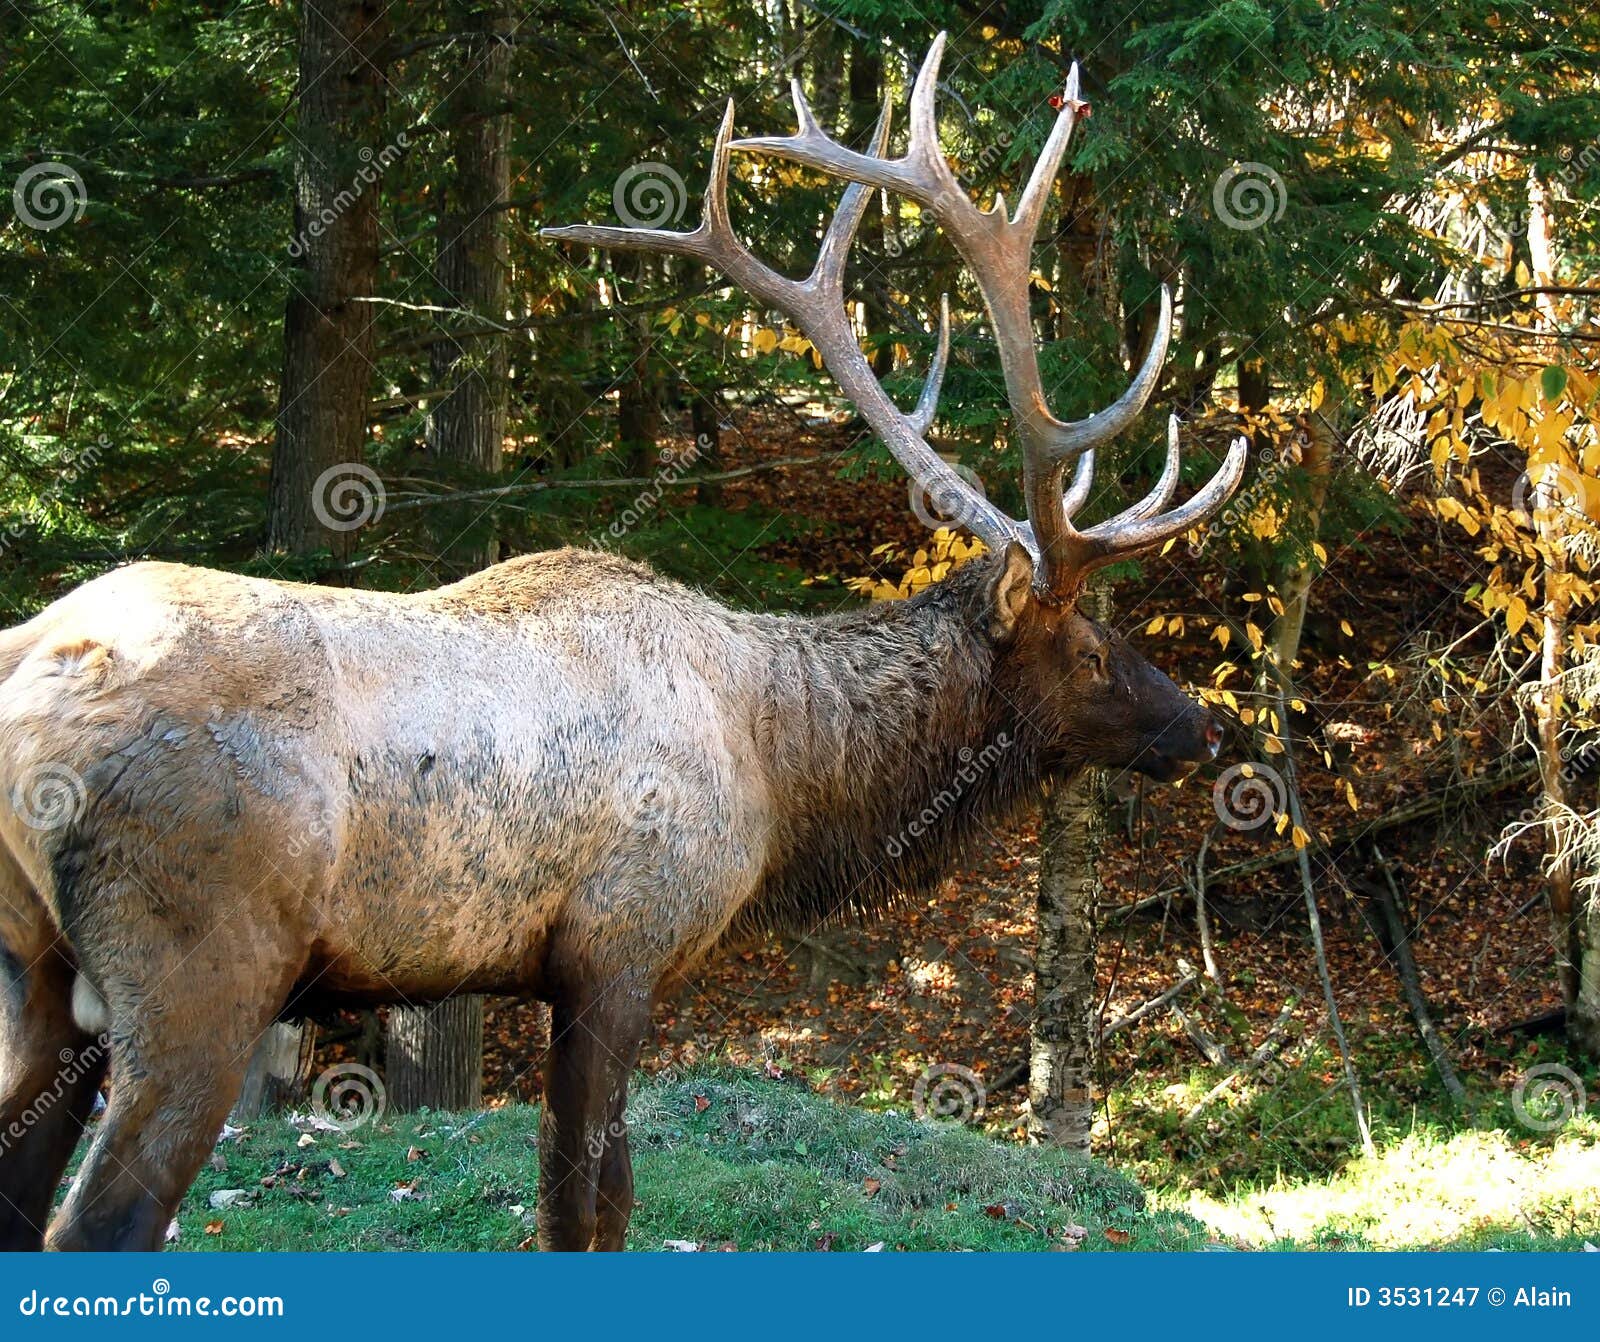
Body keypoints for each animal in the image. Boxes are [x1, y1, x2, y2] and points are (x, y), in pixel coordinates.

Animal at [0, 34, 1243, 1252]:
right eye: (1091, 648)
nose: (1202, 725)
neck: (783, 770)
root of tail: (30, 678)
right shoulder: (619, 947)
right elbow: (585, 1209)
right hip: (197, 968)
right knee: (98, 1220)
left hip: (41, 975)